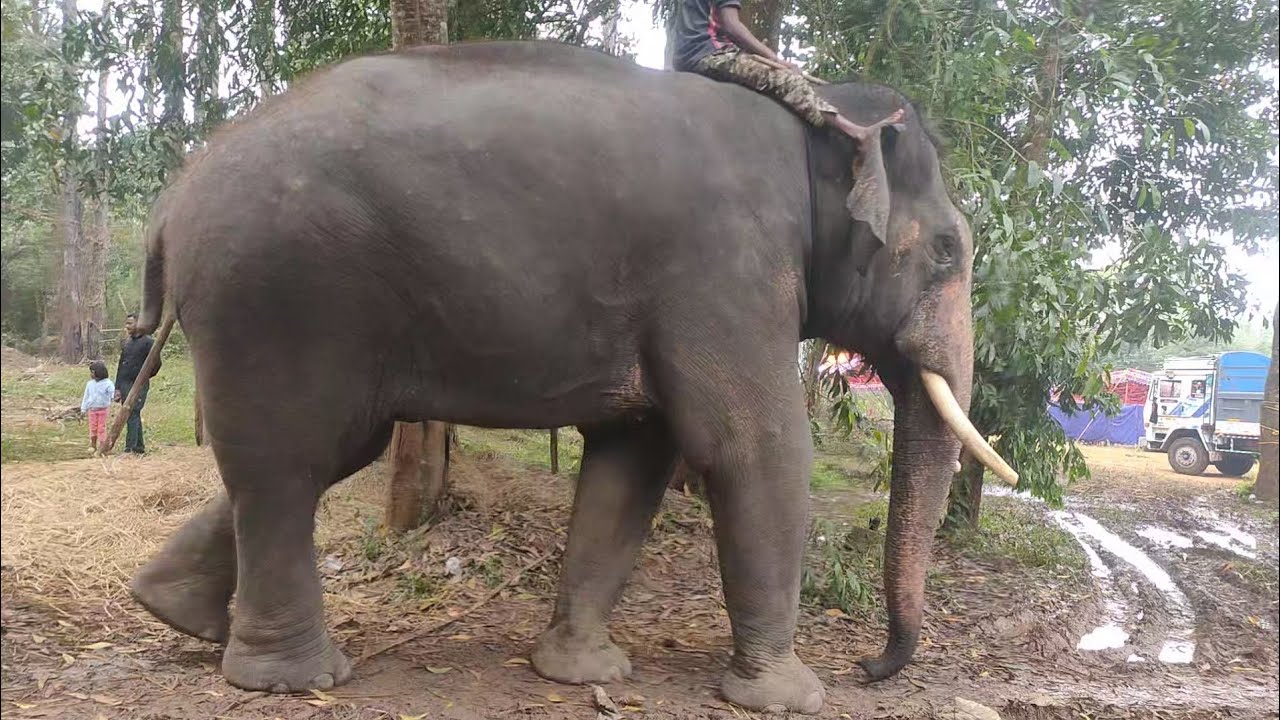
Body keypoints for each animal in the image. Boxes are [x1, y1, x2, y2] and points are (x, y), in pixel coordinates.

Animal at [127, 41, 1016, 714]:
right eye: (948, 252)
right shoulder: (727, 267)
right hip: (281, 298)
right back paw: (296, 678)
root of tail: (169, 203)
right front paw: (789, 698)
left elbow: (635, 454)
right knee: (292, 462)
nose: (873, 666)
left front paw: (582, 672)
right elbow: (752, 448)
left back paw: (177, 612)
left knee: (319, 455)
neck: (819, 111)